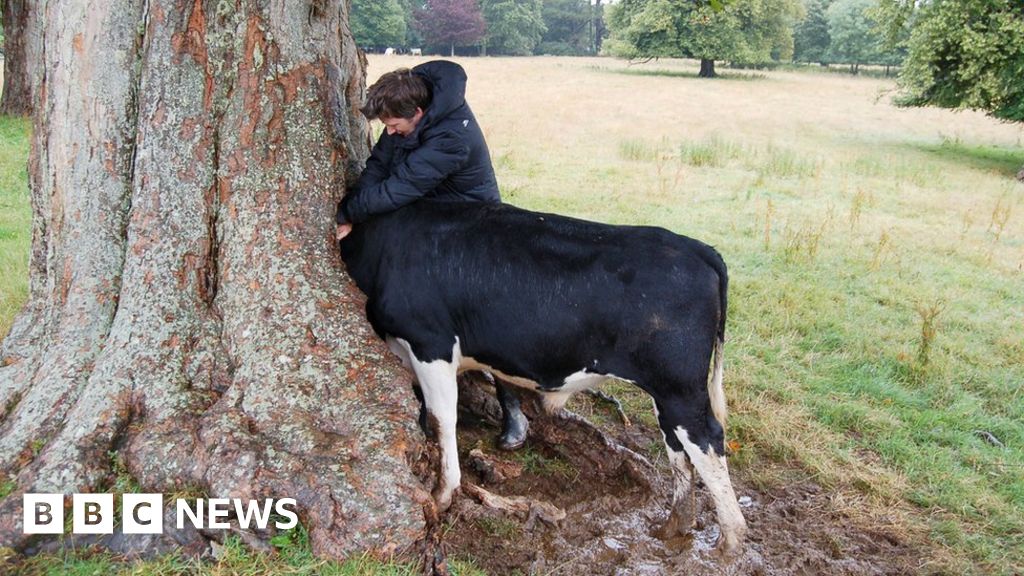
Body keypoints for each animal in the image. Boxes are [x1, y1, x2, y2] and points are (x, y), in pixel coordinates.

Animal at [339, 200, 748, 552]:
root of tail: (695, 248)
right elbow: (425, 413)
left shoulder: (430, 343)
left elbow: (442, 419)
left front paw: (443, 493)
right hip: (667, 391)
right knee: (678, 446)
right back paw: (675, 525)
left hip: (680, 387)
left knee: (707, 440)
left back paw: (730, 538)